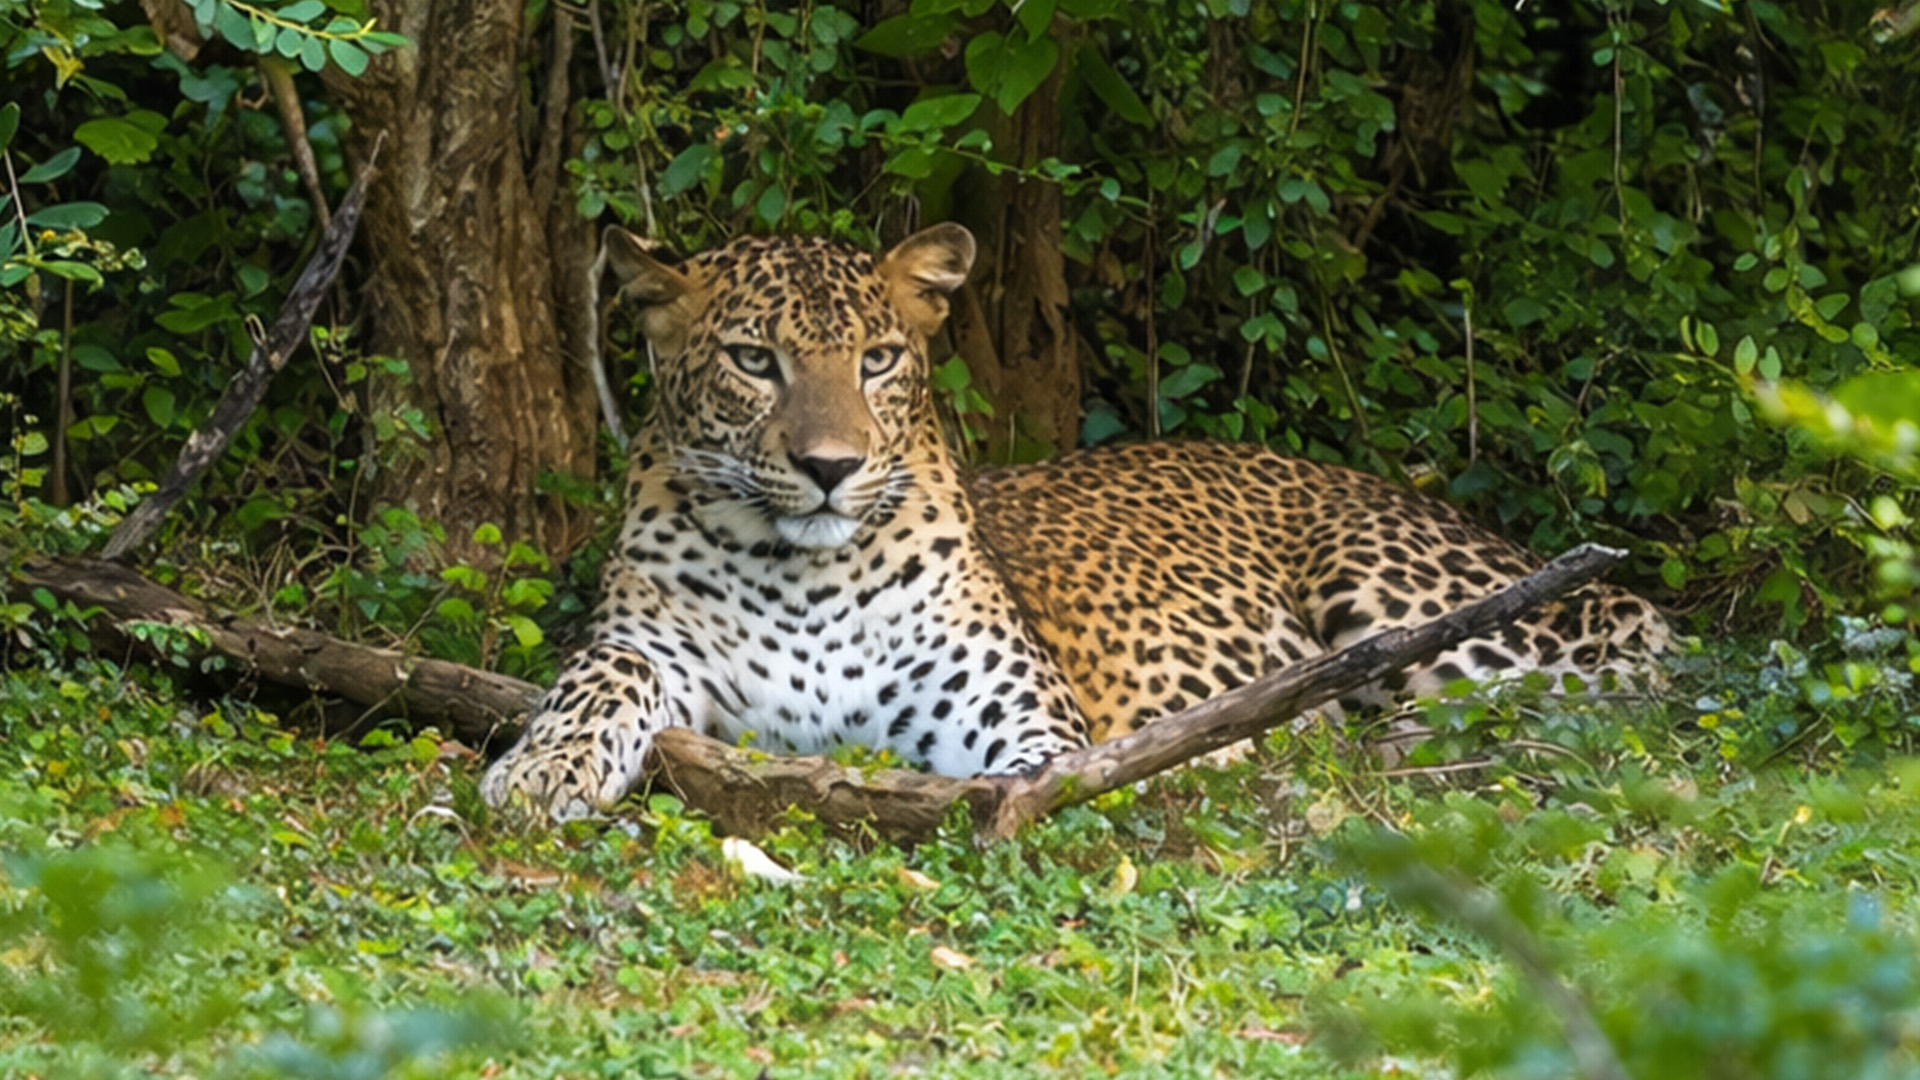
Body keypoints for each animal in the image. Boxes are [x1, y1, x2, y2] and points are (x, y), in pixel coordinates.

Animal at [479, 224, 1671, 821]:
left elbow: (1026, 779)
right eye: (751, 360)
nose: (829, 468)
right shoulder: (647, 645)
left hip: (1398, 593)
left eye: (878, 360)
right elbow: (598, 681)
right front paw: (543, 770)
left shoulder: (1014, 720)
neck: (803, 574)